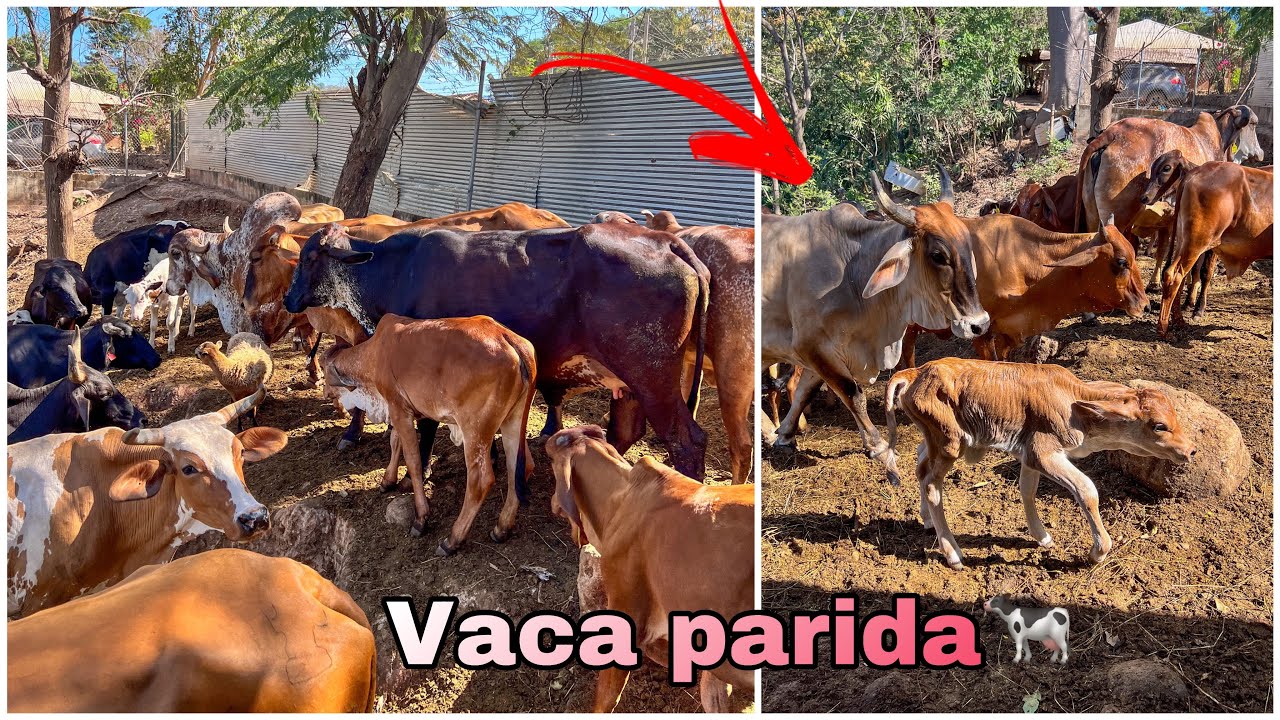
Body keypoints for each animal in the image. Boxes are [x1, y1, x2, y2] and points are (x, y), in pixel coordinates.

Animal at [283, 221, 711, 479]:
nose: (288, 298)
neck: (396, 271)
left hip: (653, 374)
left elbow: (425, 426)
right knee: (626, 430)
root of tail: (668, 242)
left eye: (308, 257)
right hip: (633, 382)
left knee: (686, 440)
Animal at [321, 314, 537, 554]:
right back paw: (501, 528)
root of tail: (510, 340)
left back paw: (453, 539)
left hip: (476, 429)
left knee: (480, 480)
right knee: (521, 467)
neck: (375, 354)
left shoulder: (399, 409)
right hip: (514, 420)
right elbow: (395, 442)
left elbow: (414, 462)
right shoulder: (399, 410)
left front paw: (421, 518)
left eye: (323, 369)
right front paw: (387, 481)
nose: (325, 393)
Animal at [761, 165, 990, 458]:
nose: (979, 324)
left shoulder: (817, 354)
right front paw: (877, 445)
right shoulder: (812, 345)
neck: (850, 273)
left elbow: (805, 392)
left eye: (967, 246)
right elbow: (853, 394)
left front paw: (786, 435)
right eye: (938, 255)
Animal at [880, 359, 1194, 568]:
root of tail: (915, 372)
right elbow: (1087, 490)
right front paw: (1098, 552)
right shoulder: (1043, 452)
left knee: (920, 464)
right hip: (949, 441)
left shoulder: (1028, 453)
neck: (1074, 405)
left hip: (934, 438)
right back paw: (953, 553)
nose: (1190, 450)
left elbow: (1027, 489)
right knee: (932, 485)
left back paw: (926, 520)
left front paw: (1042, 537)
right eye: (1159, 426)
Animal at [1159, 162, 1274, 335]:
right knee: (1173, 275)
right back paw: (1164, 328)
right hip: (1197, 242)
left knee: (1181, 277)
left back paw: (1179, 322)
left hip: (1184, 240)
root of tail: (1195, 172)